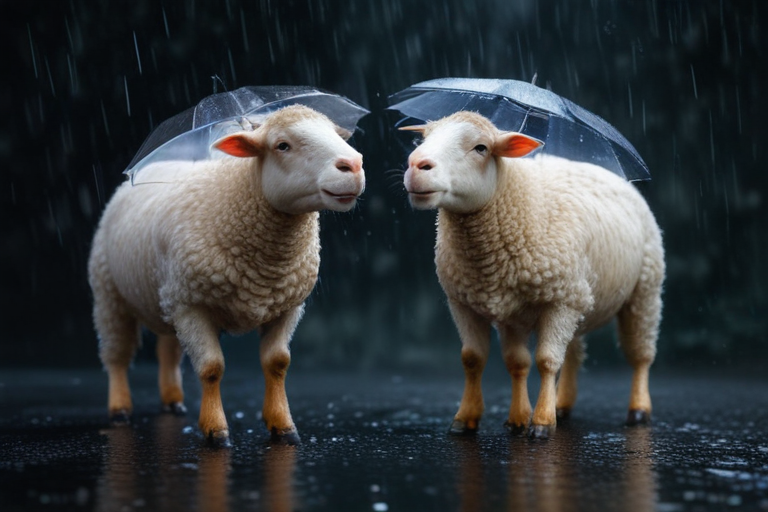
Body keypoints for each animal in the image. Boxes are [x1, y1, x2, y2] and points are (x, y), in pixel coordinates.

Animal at [88, 105, 365, 446]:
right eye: (282, 145)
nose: (353, 165)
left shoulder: (287, 306)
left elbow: (277, 363)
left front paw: (283, 425)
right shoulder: (192, 307)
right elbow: (211, 368)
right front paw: (215, 430)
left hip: (166, 294)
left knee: (167, 349)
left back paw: (172, 400)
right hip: (110, 294)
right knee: (116, 355)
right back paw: (119, 409)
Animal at [401, 111, 664, 438]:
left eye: (481, 148)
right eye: (423, 140)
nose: (416, 165)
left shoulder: (560, 302)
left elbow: (546, 361)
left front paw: (540, 423)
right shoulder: (471, 304)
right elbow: (488, 360)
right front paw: (481, 418)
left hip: (642, 292)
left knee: (639, 354)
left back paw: (638, 410)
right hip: (580, 296)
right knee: (575, 351)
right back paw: (563, 404)